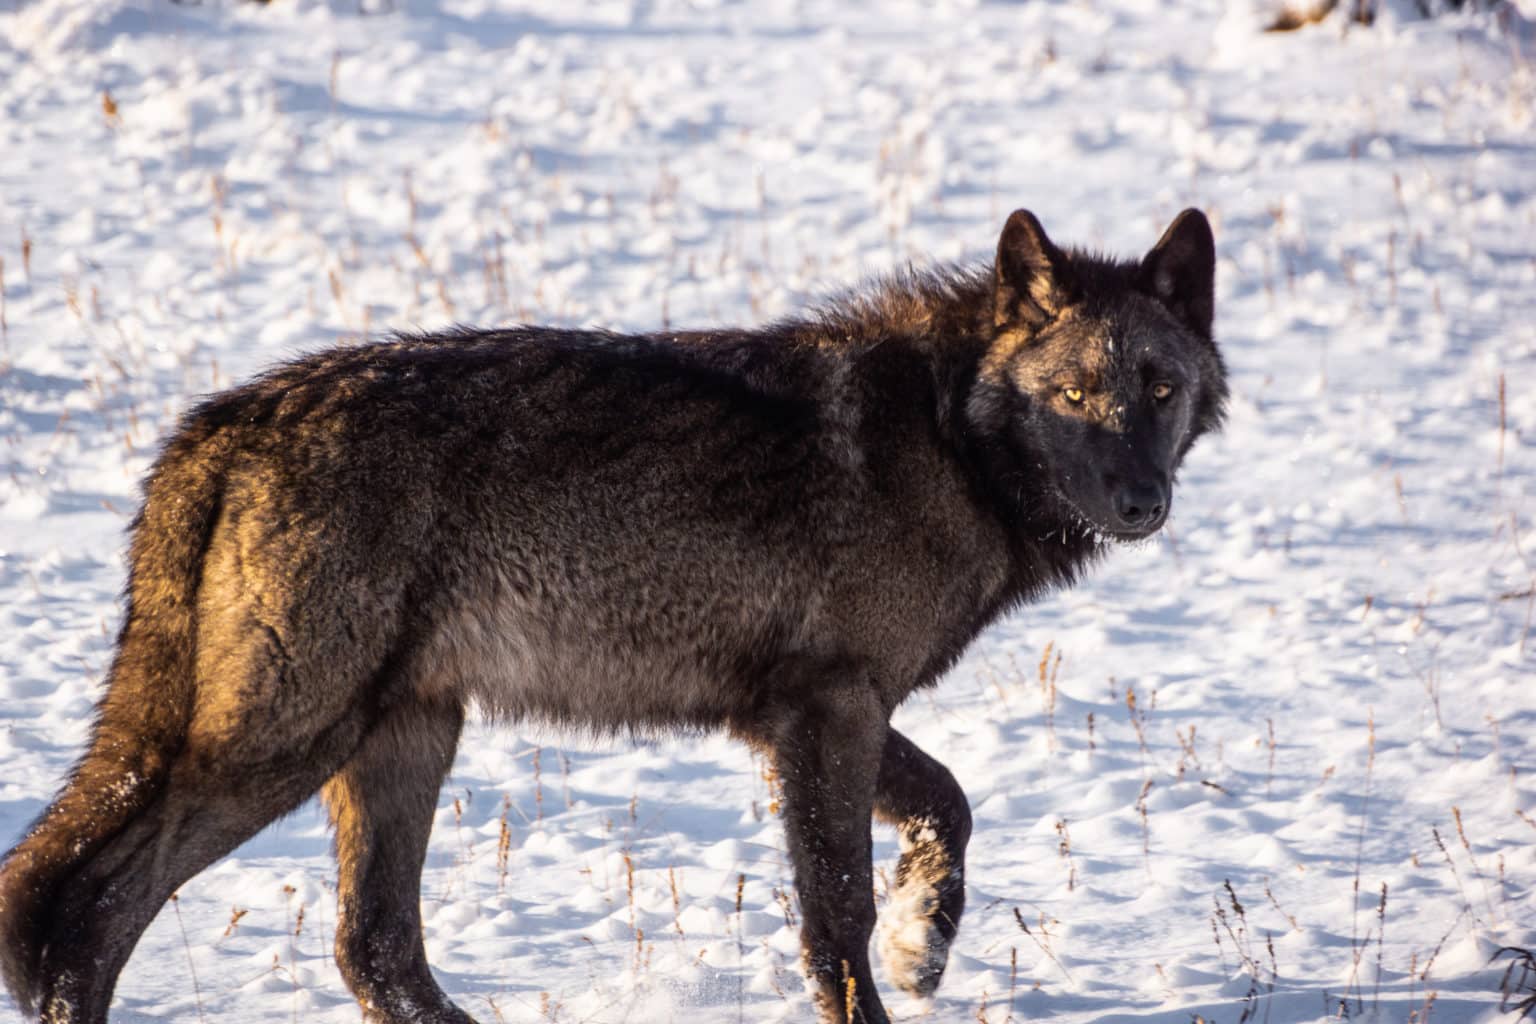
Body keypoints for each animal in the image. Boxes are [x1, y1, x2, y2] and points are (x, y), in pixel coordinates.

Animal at [0, 208, 1225, 1023]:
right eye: (1074, 394)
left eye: (1158, 389)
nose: (1141, 503)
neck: (945, 435)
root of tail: (223, 421)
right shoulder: (830, 709)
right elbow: (837, 911)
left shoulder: (810, 711)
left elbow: (950, 810)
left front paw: (927, 944)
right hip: (282, 744)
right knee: (95, 906)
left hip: (400, 738)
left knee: (372, 946)